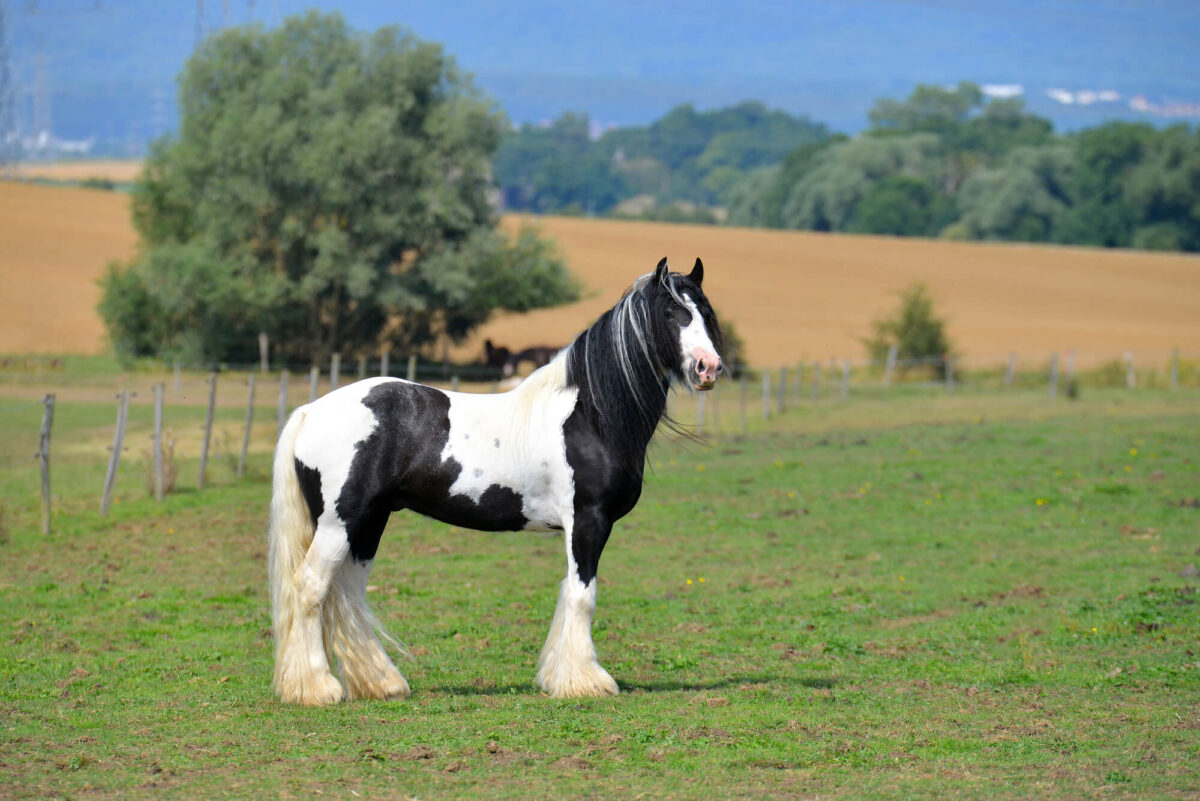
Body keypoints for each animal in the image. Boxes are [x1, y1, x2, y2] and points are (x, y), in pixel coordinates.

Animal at [268, 257, 723, 705]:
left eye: (704, 309)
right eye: (671, 313)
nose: (709, 367)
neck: (590, 415)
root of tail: (310, 411)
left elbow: (570, 594)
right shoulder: (588, 521)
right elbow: (582, 597)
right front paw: (585, 682)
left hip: (369, 522)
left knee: (346, 594)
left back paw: (381, 684)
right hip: (339, 523)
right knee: (310, 589)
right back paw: (315, 688)